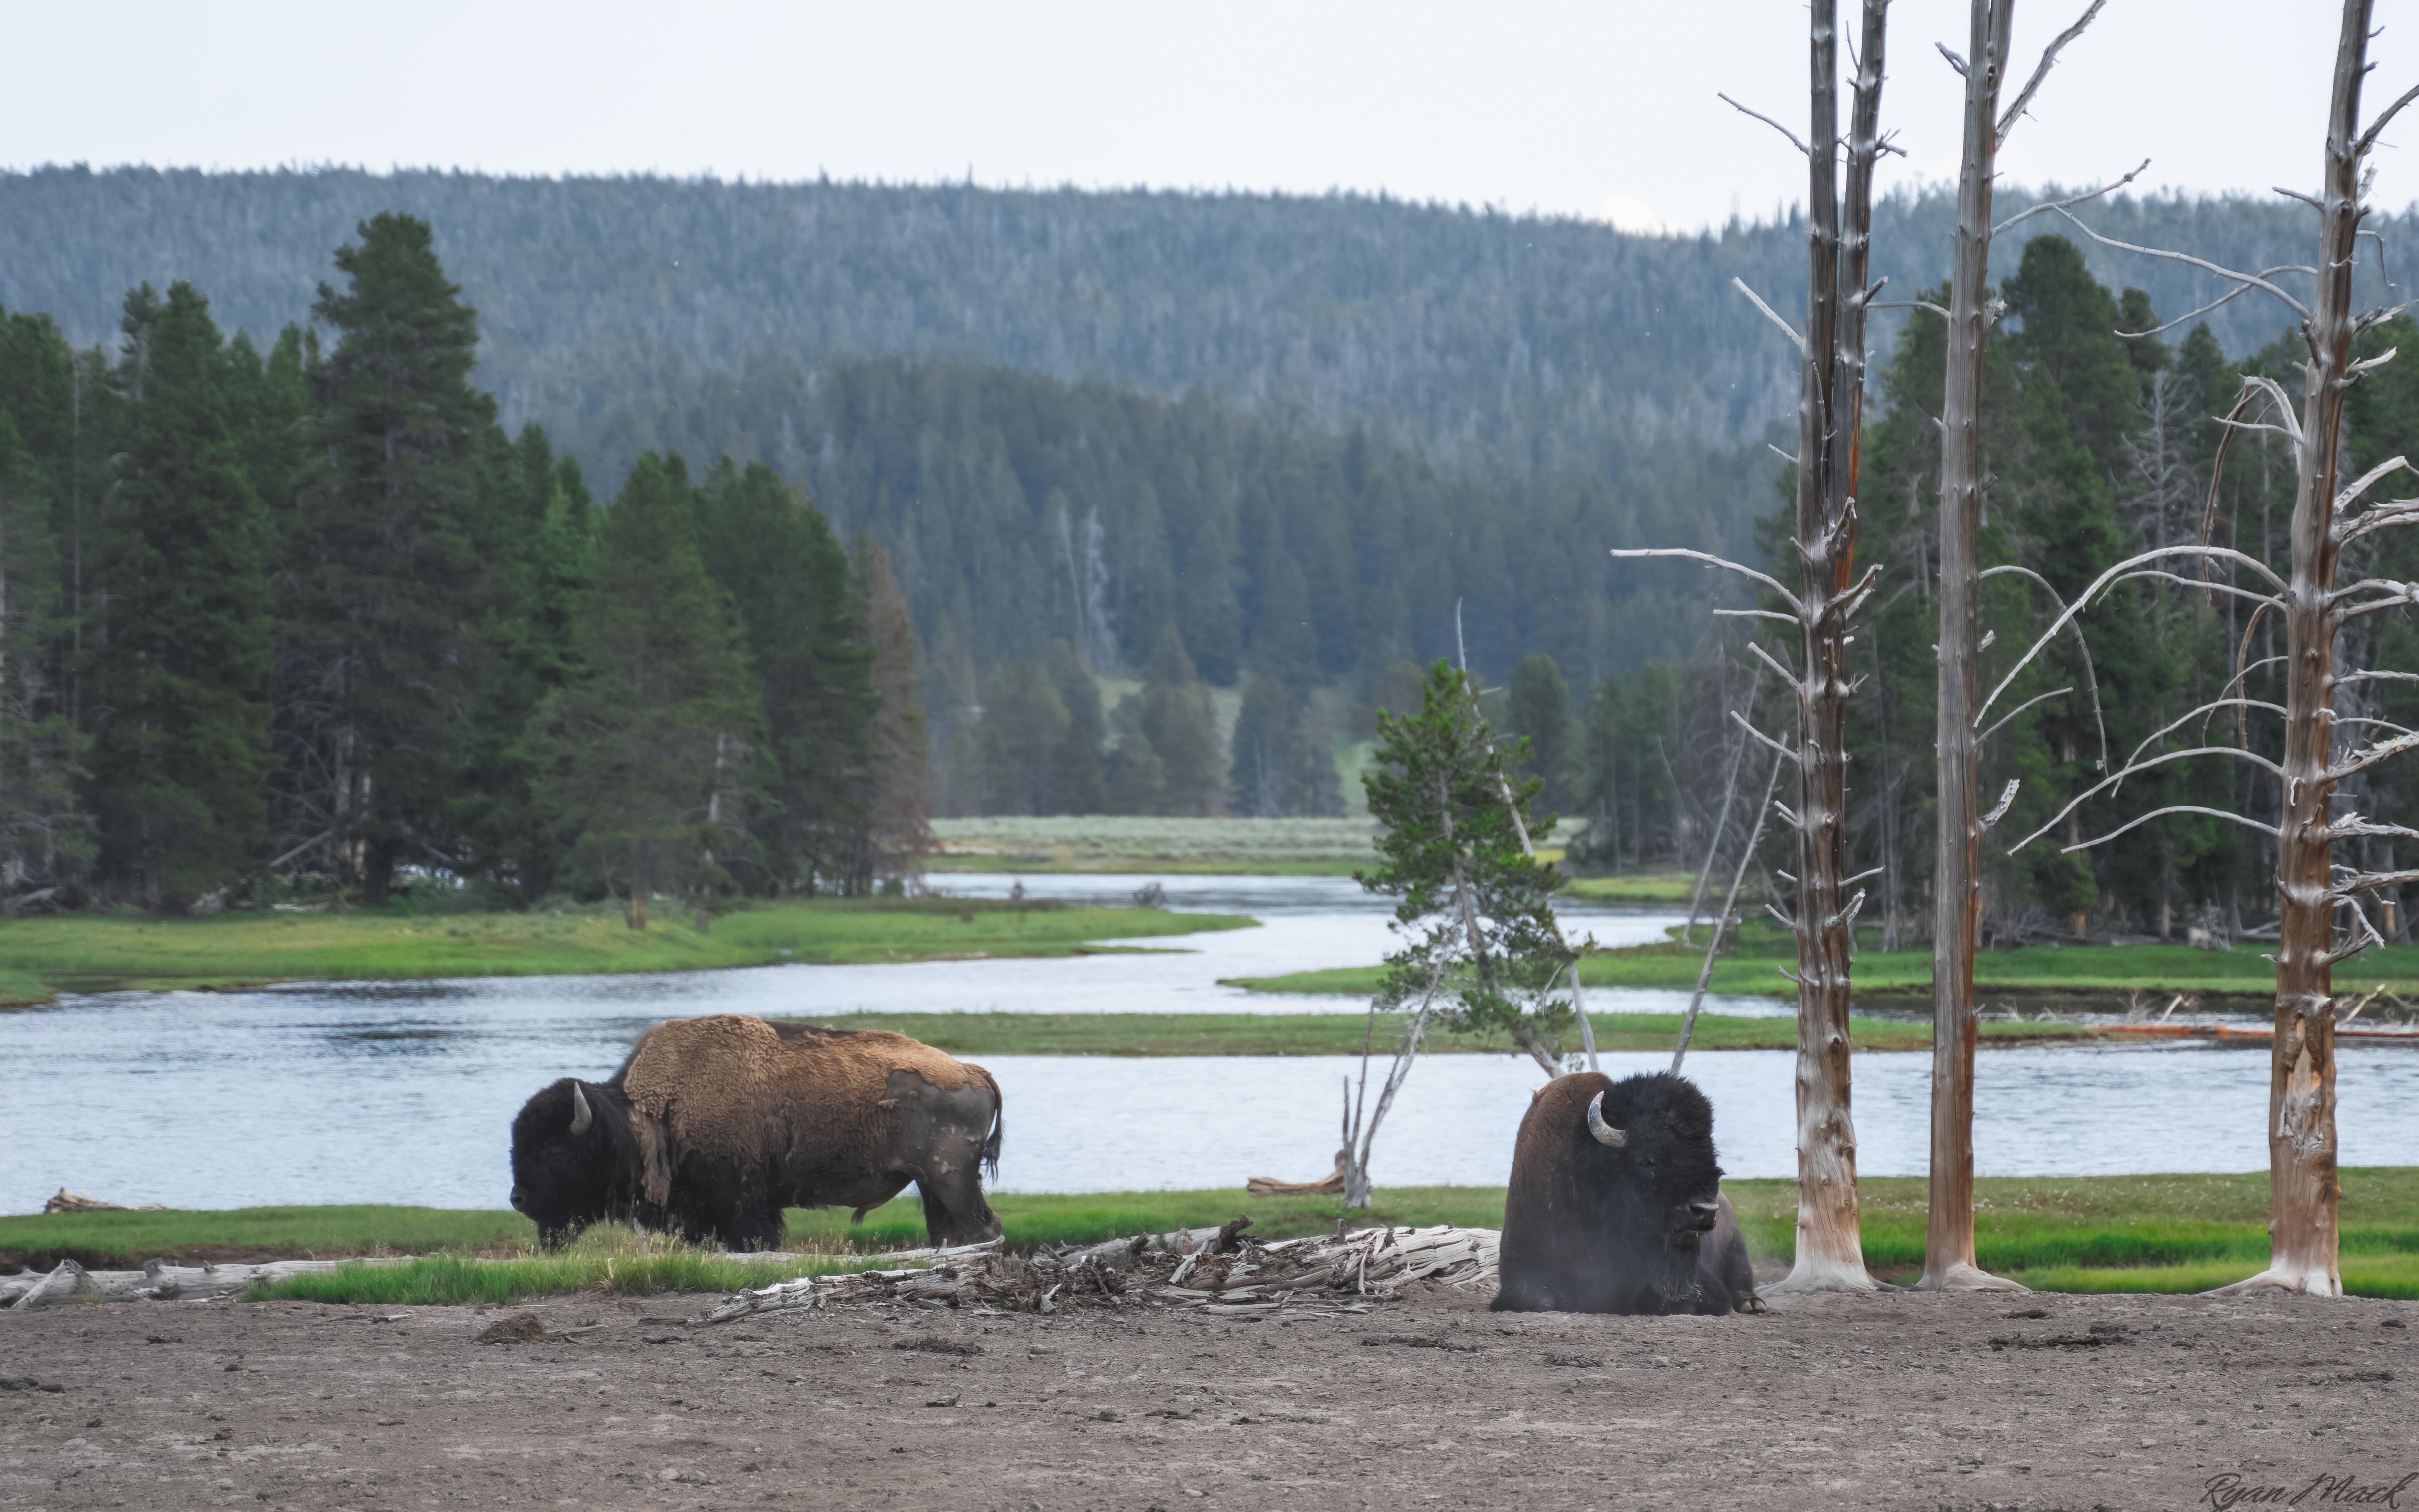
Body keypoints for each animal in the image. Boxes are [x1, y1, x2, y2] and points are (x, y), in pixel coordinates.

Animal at [510, 1014, 1003, 1251]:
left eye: (555, 1151)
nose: (518, 1198)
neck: (654, 1111)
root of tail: (974, 1071)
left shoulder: (740, 1204)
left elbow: (753, 1239)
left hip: (951, 1178)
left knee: (983, 1227)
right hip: (930, 1183)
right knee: (949, 1231)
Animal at [1491, 1070, 1760, 1315]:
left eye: (1713, 1160)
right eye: (1648, 1162)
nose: (1705, 1210)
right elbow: (1539, 1300)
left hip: (1737, 1249)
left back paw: (1754, 1305)